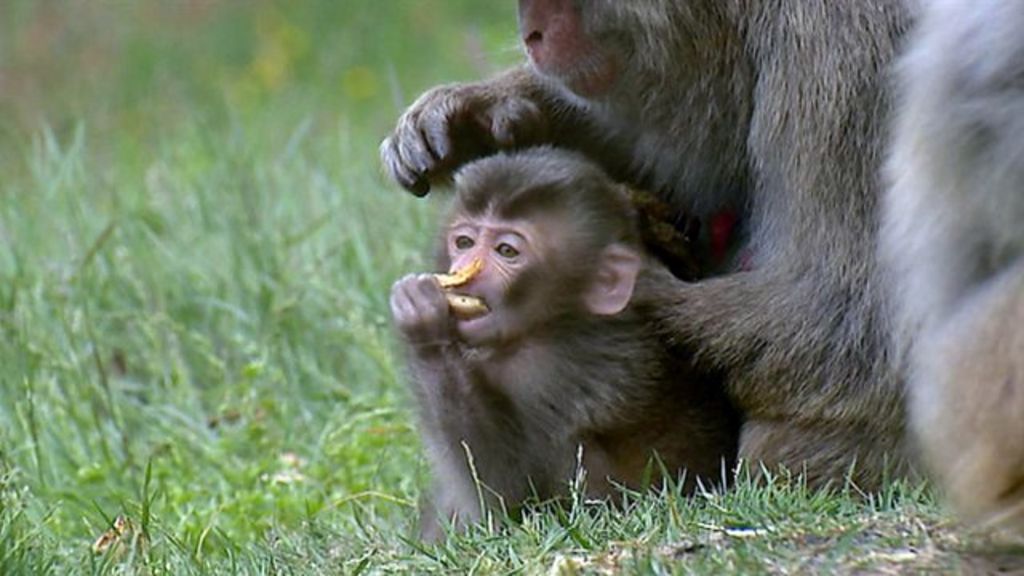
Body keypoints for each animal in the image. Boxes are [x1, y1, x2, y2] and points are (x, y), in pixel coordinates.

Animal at [390, 148, 740, 540]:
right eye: (464, 242)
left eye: (507, 251)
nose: (463, 271)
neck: (555, 322)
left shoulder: (543, 374)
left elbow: (508, 492)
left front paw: (424, 325)